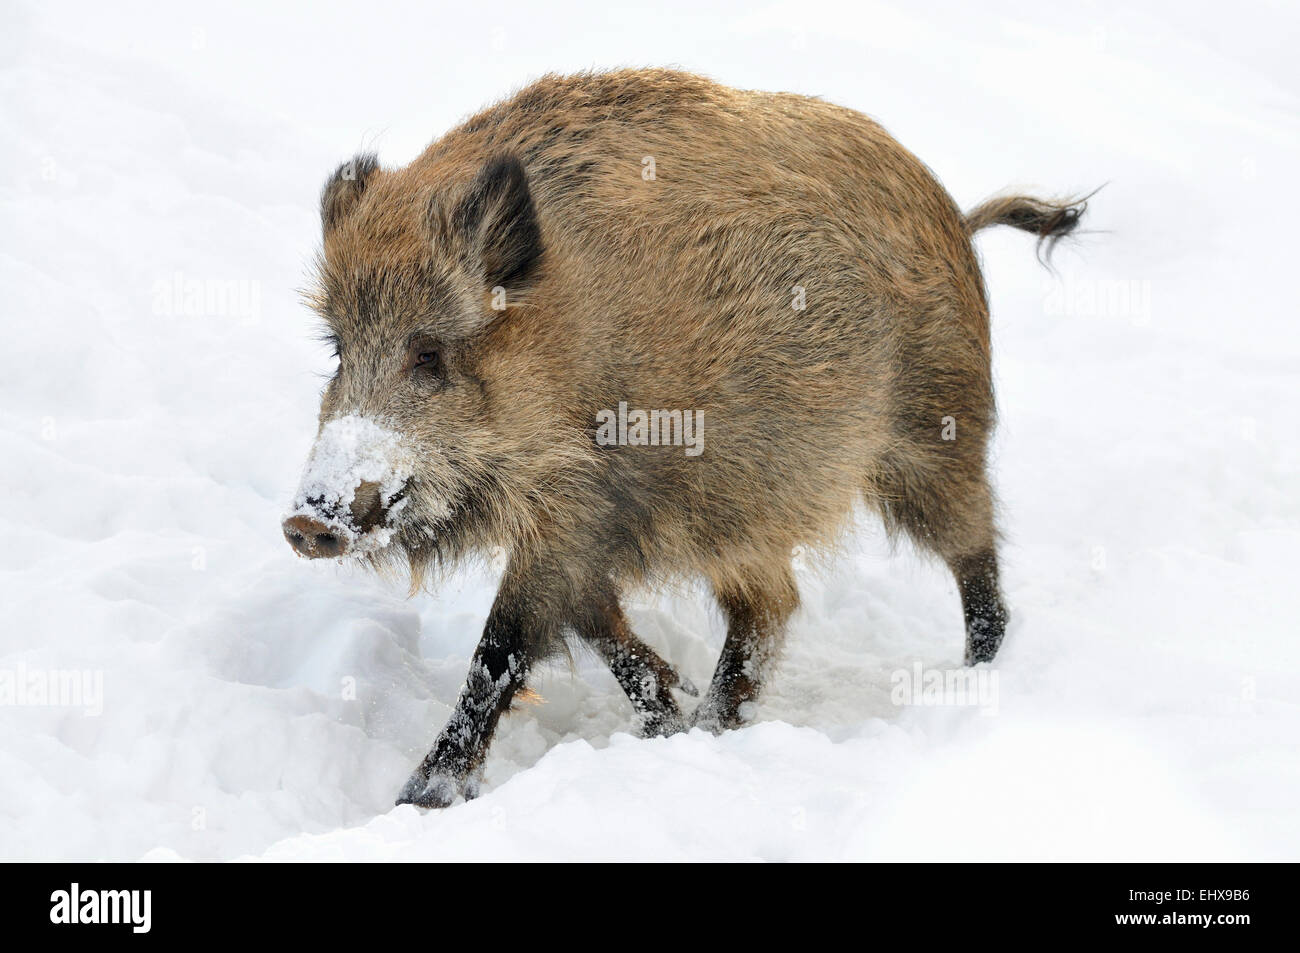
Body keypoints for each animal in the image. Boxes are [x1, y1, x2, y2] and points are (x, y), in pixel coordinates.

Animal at [282, 68, 1088, 807]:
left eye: (429, 353)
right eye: (339, 349)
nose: (303, 523)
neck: (565, 351)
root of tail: (954, 215)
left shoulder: (576, 508)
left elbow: (503, 642)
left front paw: (417, 798)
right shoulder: (588, 523)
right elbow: (592, 619)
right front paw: (668, 713)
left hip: (934, 435)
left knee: (972, 551)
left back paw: (976, 675)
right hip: (746, 507)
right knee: (773, 606)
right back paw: (708, 724)